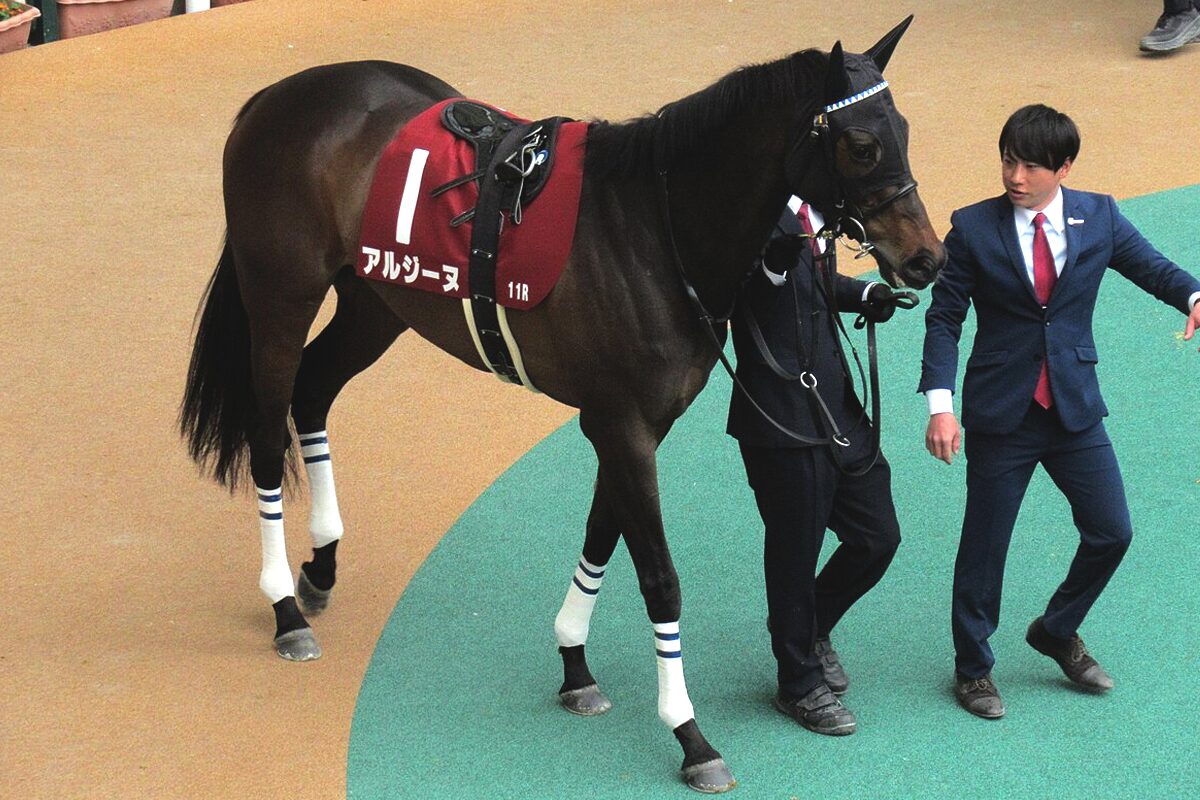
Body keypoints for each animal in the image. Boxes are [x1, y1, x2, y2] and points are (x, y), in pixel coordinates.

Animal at [180, 17, 944, 793]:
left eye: (905, 130)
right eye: (862, 144)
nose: (926, 260)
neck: (653, 231)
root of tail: (275, 95)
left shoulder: (635, 421)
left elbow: (601, 534)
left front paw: (575, 665)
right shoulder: (621, 422)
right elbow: (660, 578)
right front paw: (690, 735)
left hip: (376, 299)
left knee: (313, 390)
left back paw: (323, 567)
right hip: (280, 294)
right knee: (268, 430)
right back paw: (285, 609)